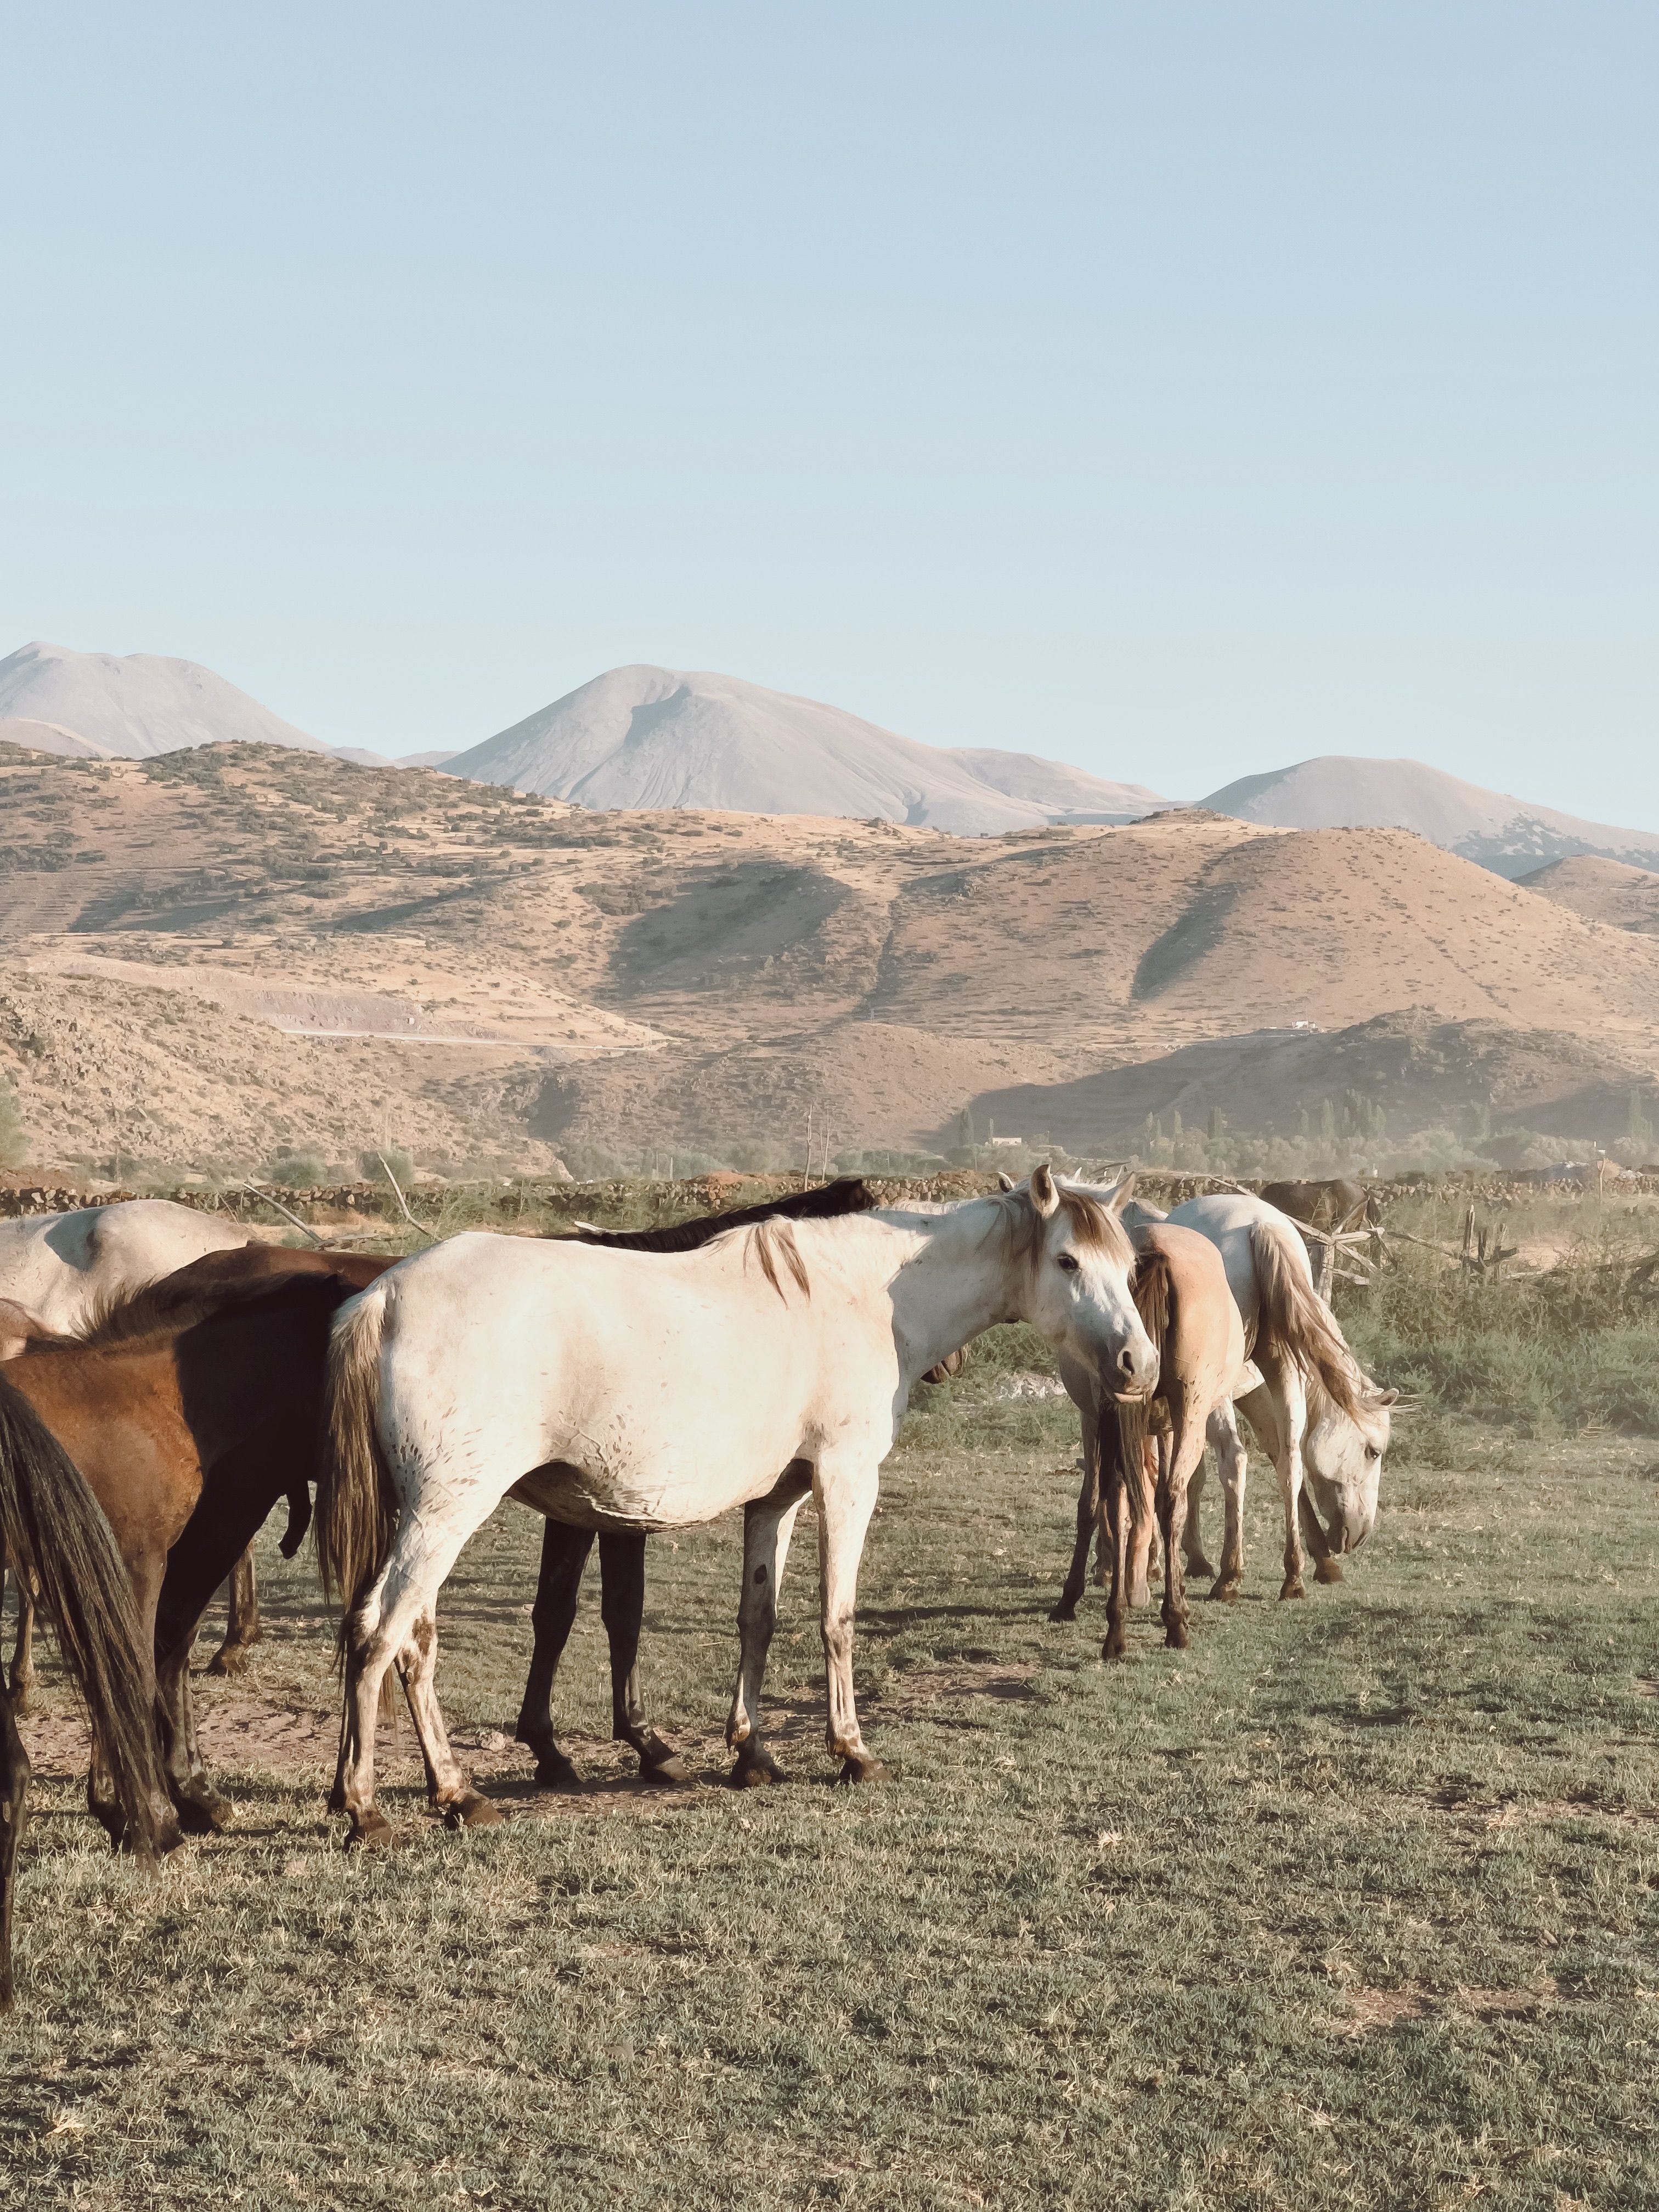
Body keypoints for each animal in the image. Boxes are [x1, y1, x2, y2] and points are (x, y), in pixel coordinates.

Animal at [314, 1166, 1155, 1844]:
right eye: (1068, 1260)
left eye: (1128, 1265)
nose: (1138, 1365)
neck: (858, 1299)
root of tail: (386, 1295)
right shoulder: (846, 1480)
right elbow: (836, 1618)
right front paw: (851, 1751)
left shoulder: (776, 1500)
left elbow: (760, 1619)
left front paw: (751, 1751)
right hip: (446, 1514)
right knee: (382, 1633)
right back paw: (369, 1806)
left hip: (426, 1517)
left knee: (409, 1641)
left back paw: (451, 1794)